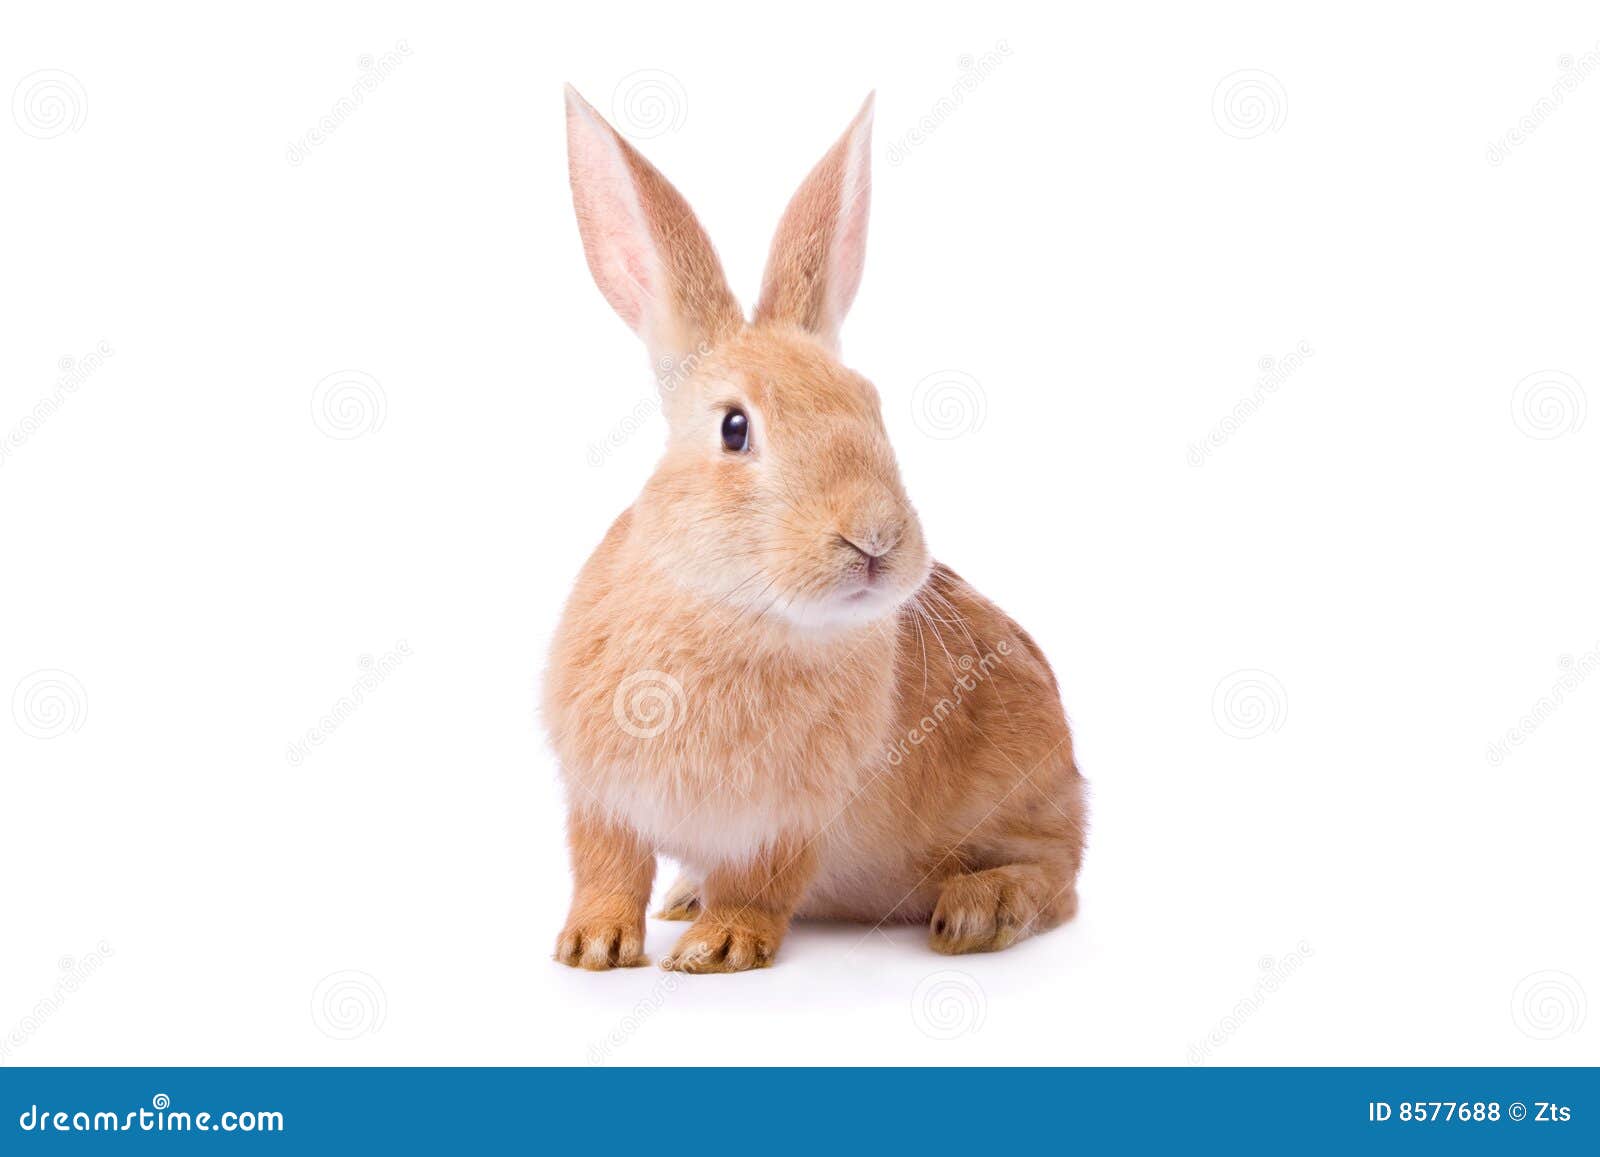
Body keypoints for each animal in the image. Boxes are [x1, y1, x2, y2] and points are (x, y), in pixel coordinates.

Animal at [546, 85, 1086, 972]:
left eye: (871, 408)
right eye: (734, 428)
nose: (875, 539)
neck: (734, 615)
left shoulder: (792, 820)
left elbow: (760, 882)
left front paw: (720, 946)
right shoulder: (600, 797)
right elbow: (606, 866)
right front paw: (593, 944)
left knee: (1058, 876)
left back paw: (981, 910)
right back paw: (681, 896)